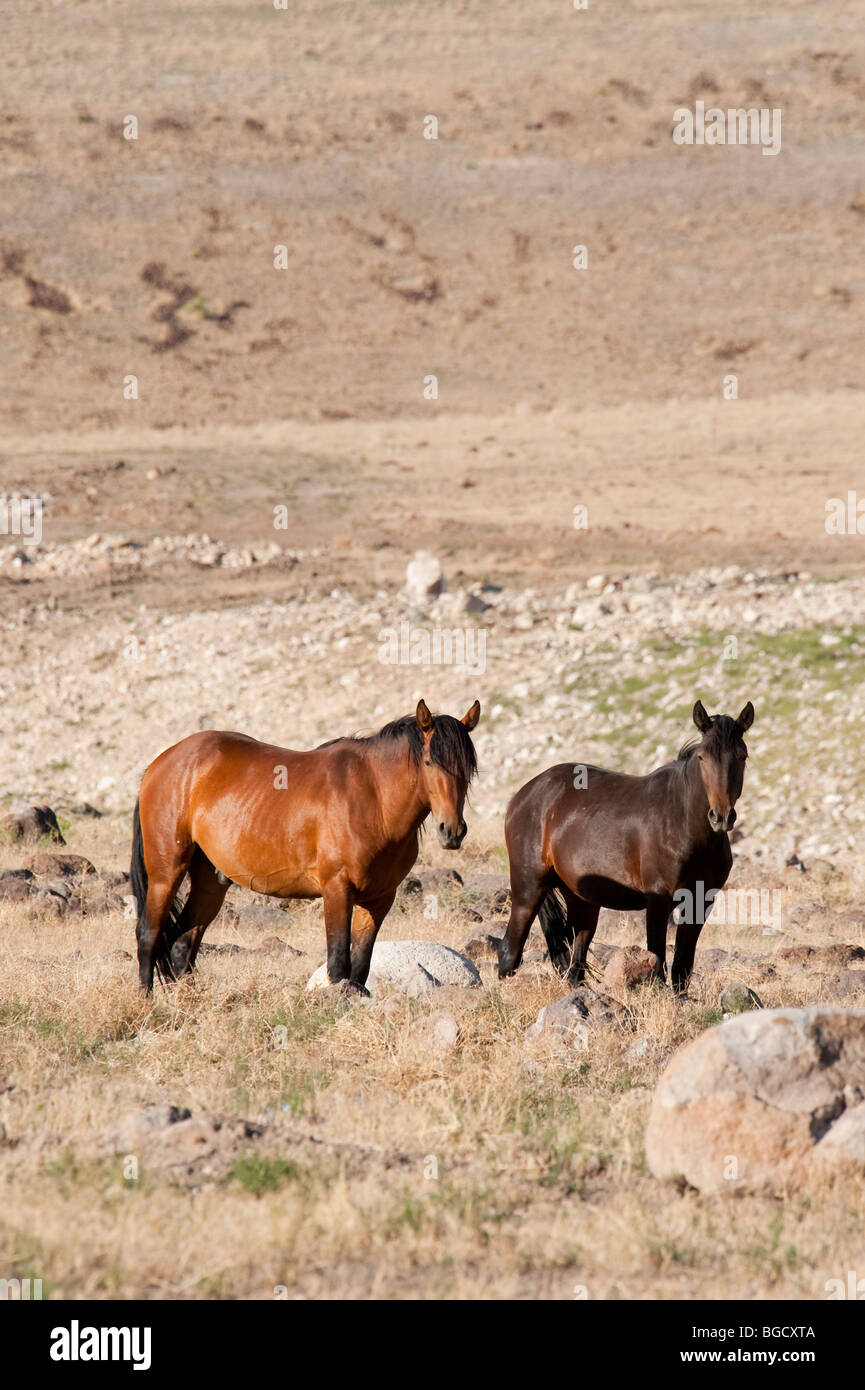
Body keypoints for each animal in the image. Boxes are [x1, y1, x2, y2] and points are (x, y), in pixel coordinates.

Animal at [131, 698, 480, 993]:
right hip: (166, 872)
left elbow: (360, 969)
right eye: (429, 762)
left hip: (211, 881)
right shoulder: (337, 888)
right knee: (149, 934)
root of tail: (161, 763)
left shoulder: (379, 899)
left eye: (469, 767)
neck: (374, 799)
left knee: (182, 942)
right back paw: (146, 1000)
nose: (452, 831)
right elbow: (338, 965)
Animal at [498, 700, 754, 993]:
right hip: (528, 888)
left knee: (576, 965)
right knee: (510, 951)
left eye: (742, 756)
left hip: (581, 898)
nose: (721, 817)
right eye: (702, 757)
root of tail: (522, 796)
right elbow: (657, 959)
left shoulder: (701, 901)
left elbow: (682, 967)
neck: (682, 822)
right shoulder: (658, 899)